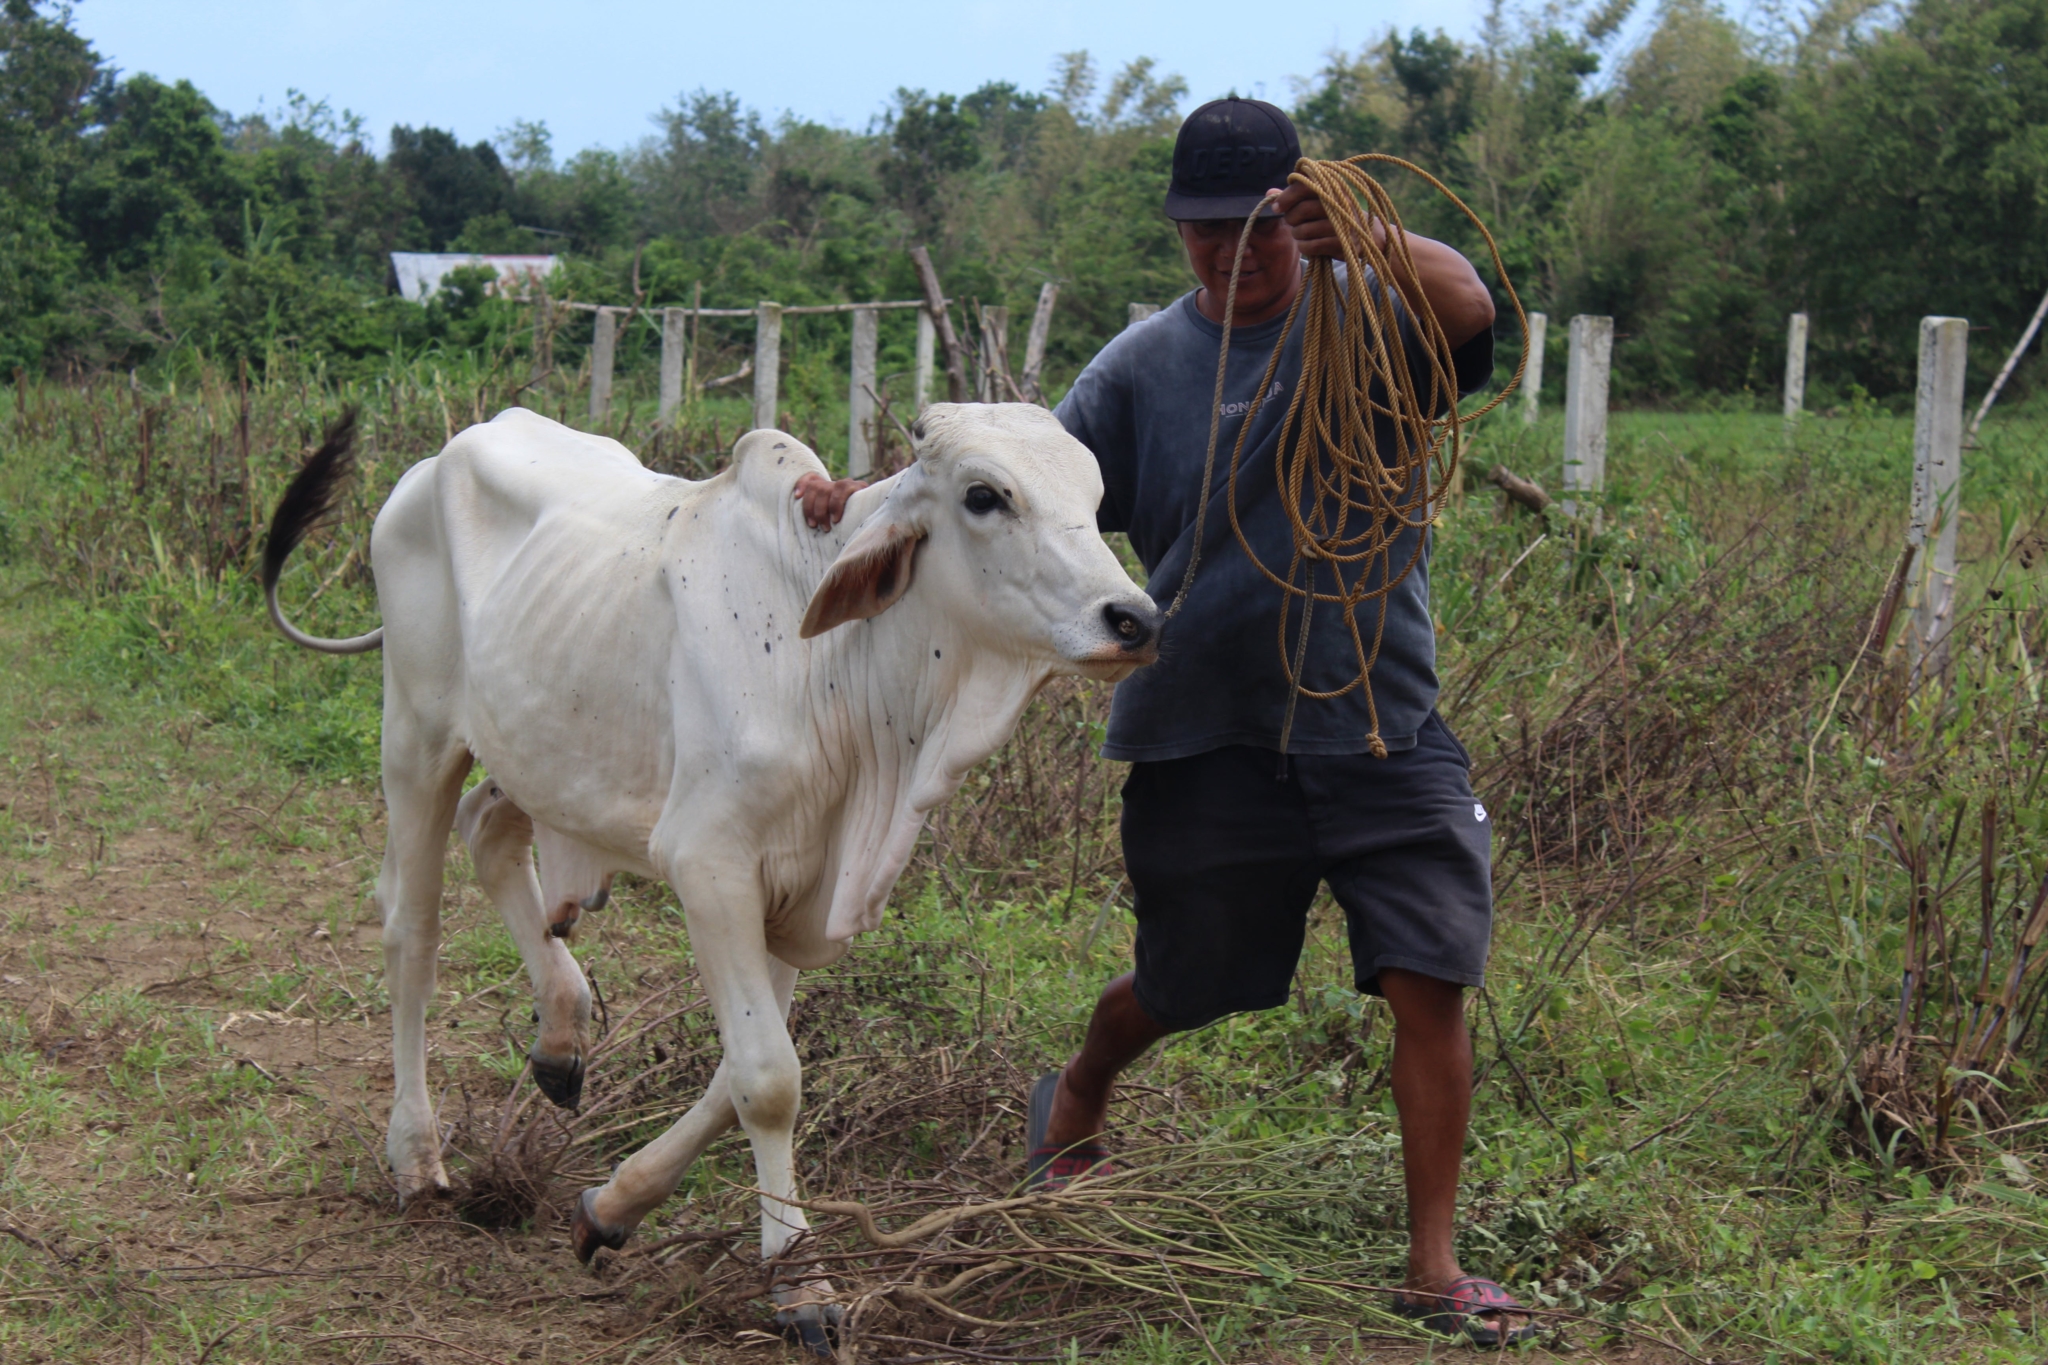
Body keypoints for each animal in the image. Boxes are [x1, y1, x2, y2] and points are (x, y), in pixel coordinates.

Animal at [262, 403, 1160, 1349]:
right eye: (985, 495)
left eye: (1096, 494)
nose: (1134, 619)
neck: (843, 676)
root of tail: (435, 461)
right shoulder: (711, 865)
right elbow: (767, 1078)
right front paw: (800, 1283)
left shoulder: (800, 895)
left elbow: (735, 1076)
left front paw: (612, 1205)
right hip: (418, 731)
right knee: (413, 926)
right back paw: (416, 1151)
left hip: (535, 751)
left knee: (491, 832)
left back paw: (562, 1031)